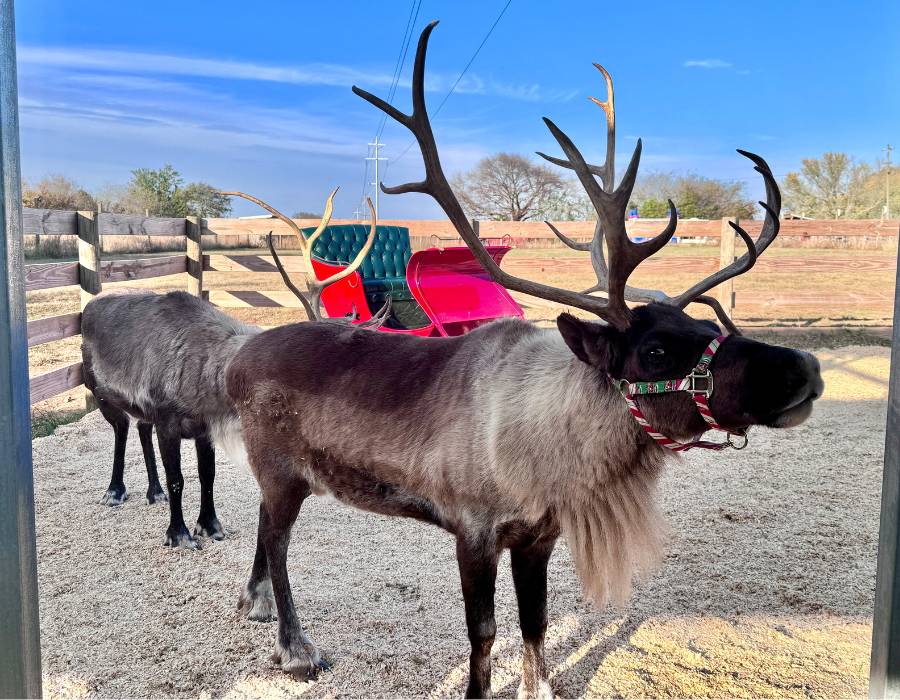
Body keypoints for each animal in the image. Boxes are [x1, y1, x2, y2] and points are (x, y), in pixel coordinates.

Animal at [81, 194, 384, 549]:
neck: (211, 379)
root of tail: (89, 305)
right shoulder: (168, 420)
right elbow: (177, 479)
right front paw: (178, 533)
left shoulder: (203, 427)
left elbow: (207, 476)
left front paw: (210, 525)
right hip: (98, 391)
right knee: (122, 429)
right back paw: (115, 490)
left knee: (141, 428)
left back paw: (152, 491)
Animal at [224, 22, 823, 698]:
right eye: (655, 351)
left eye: (706, 322)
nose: (805, 369)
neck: (552, 448)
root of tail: (239, 355)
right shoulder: (474, 531)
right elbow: (485, 633)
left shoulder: (540, 536)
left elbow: (534, 621)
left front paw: (540, 686)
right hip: (280, 467)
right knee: (278, 543)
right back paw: (294, 646)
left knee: (262, 524)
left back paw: (254, 601)